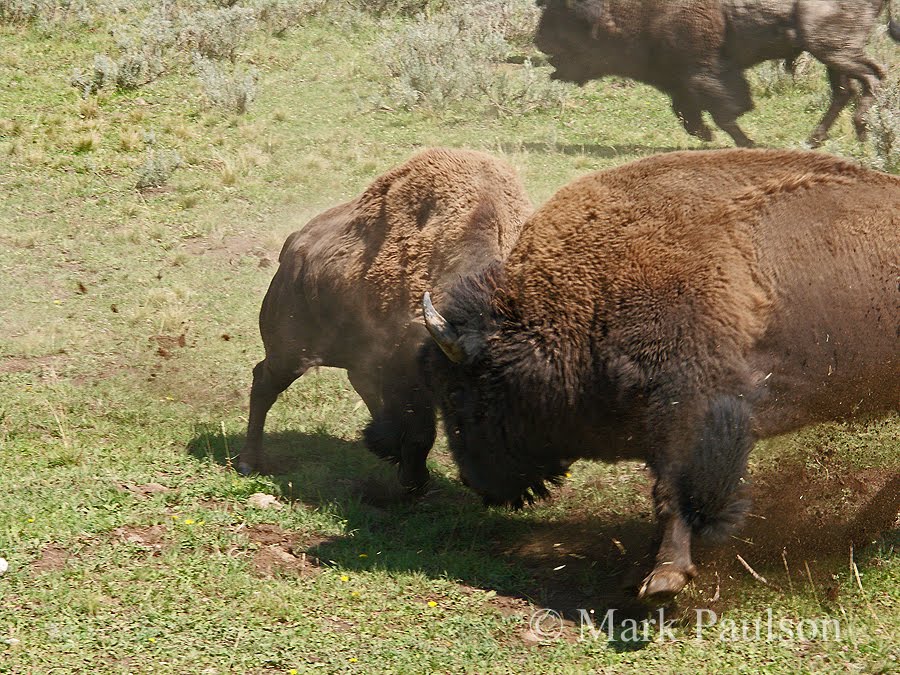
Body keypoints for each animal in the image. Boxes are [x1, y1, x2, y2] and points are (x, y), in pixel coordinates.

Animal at [239, 148, 532, 490]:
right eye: (463, 395)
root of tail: (295, 244)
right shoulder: (405, 368)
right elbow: (420, 432)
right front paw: (414, 481)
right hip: (290, 352)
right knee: (264, 382)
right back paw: (248, 462)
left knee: (358, 382)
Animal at [419, 148, 899, 603]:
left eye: (462, 395)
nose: (475, 482)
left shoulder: (691, 412)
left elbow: (677, 495)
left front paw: (664, 580)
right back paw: (860, 532)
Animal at [534, 0, 900, 147]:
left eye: (561, 13)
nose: (538, 39)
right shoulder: (679, 78)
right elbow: (689, 111)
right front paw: (712, 136)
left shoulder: (704, 69)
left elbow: (722, 108)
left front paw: (746, 143)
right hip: (828, 53)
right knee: (845, 90)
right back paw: (817, 139)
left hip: (831, 47)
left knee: (872, 77)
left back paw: (863, 130)